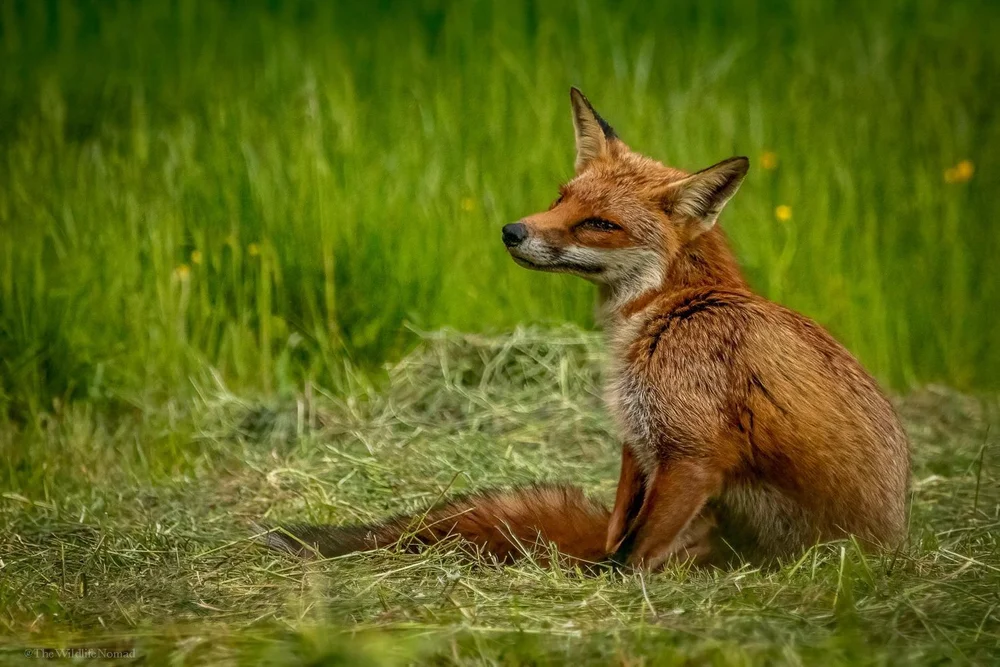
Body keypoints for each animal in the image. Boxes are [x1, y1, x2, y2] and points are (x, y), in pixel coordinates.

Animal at [260, 89, 910, 570]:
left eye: (599, 223)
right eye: (561, 197)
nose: (512, 231)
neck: (669, 309)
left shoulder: (690, 456)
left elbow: (629, 555)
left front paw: (610, 585)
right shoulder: (637, 443)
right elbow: (618, 529)